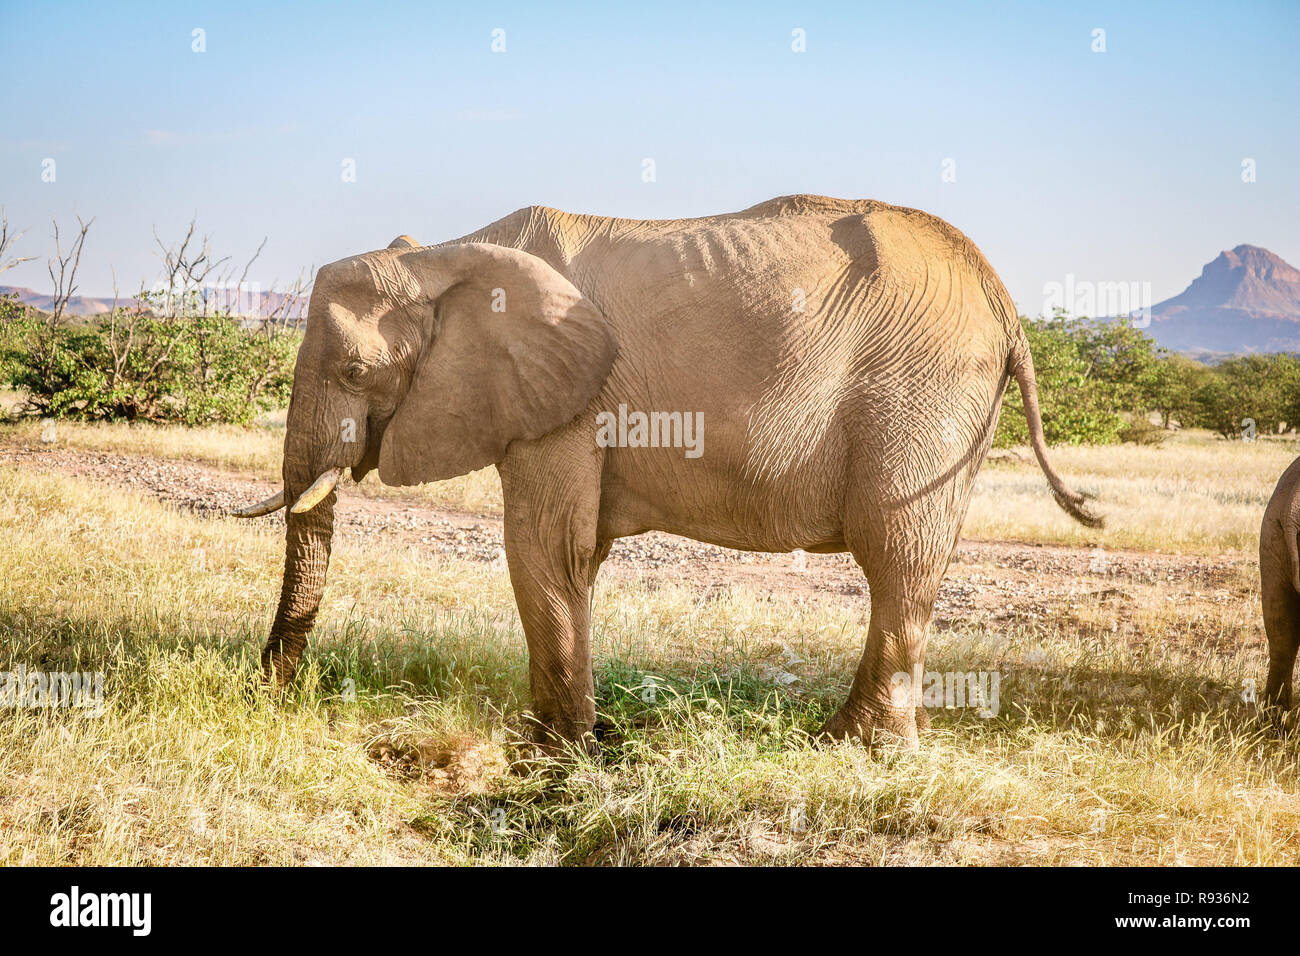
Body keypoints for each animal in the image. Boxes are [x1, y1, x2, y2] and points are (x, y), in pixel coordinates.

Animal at [233, 194, 1101, 750]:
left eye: (353, 371)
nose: (269, 691)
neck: (443, 257)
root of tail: (1003, 297)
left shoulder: (568, 398)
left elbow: (545, 548)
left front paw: (553, 751)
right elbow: (579, 556)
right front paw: (584, 737)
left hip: (923, 390)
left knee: (897, 557)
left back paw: (857, 749)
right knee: (912, 565)